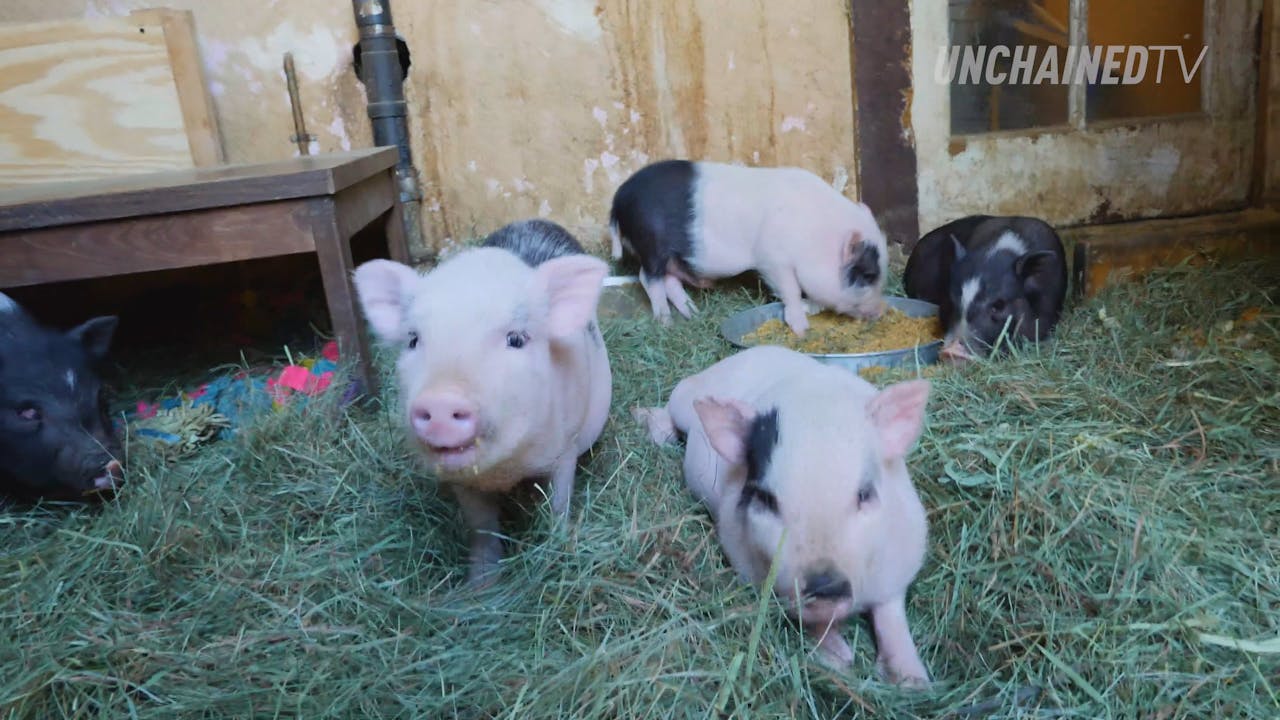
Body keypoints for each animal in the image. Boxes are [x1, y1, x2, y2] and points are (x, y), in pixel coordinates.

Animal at [352, 218, 612, 585]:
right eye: (414, 339)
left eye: (516, 339)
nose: (442, 400)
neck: (504, 473)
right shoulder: (463, 482)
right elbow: (481, 527)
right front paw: (480, 585)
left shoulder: (564, 449)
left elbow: (559, 503)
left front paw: (559, 546)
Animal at [609, 160, 889, 336]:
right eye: (868, 275)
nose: (880, 312)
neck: (814, 237)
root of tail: (620, 197)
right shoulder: (772, 260)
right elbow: (791, 290)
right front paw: (801, 330)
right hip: (651, 245)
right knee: (648, 278)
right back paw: (666, 322)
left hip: (671, 256)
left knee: (669, 280)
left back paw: (693, 314)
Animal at [633, 345, 932, 685]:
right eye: (766, 499)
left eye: (865, 493)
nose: (825, 587)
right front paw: (840, 659)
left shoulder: (902, 555)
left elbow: (891, 613)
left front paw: (915, 683)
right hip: (685, 398)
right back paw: (655, 429)